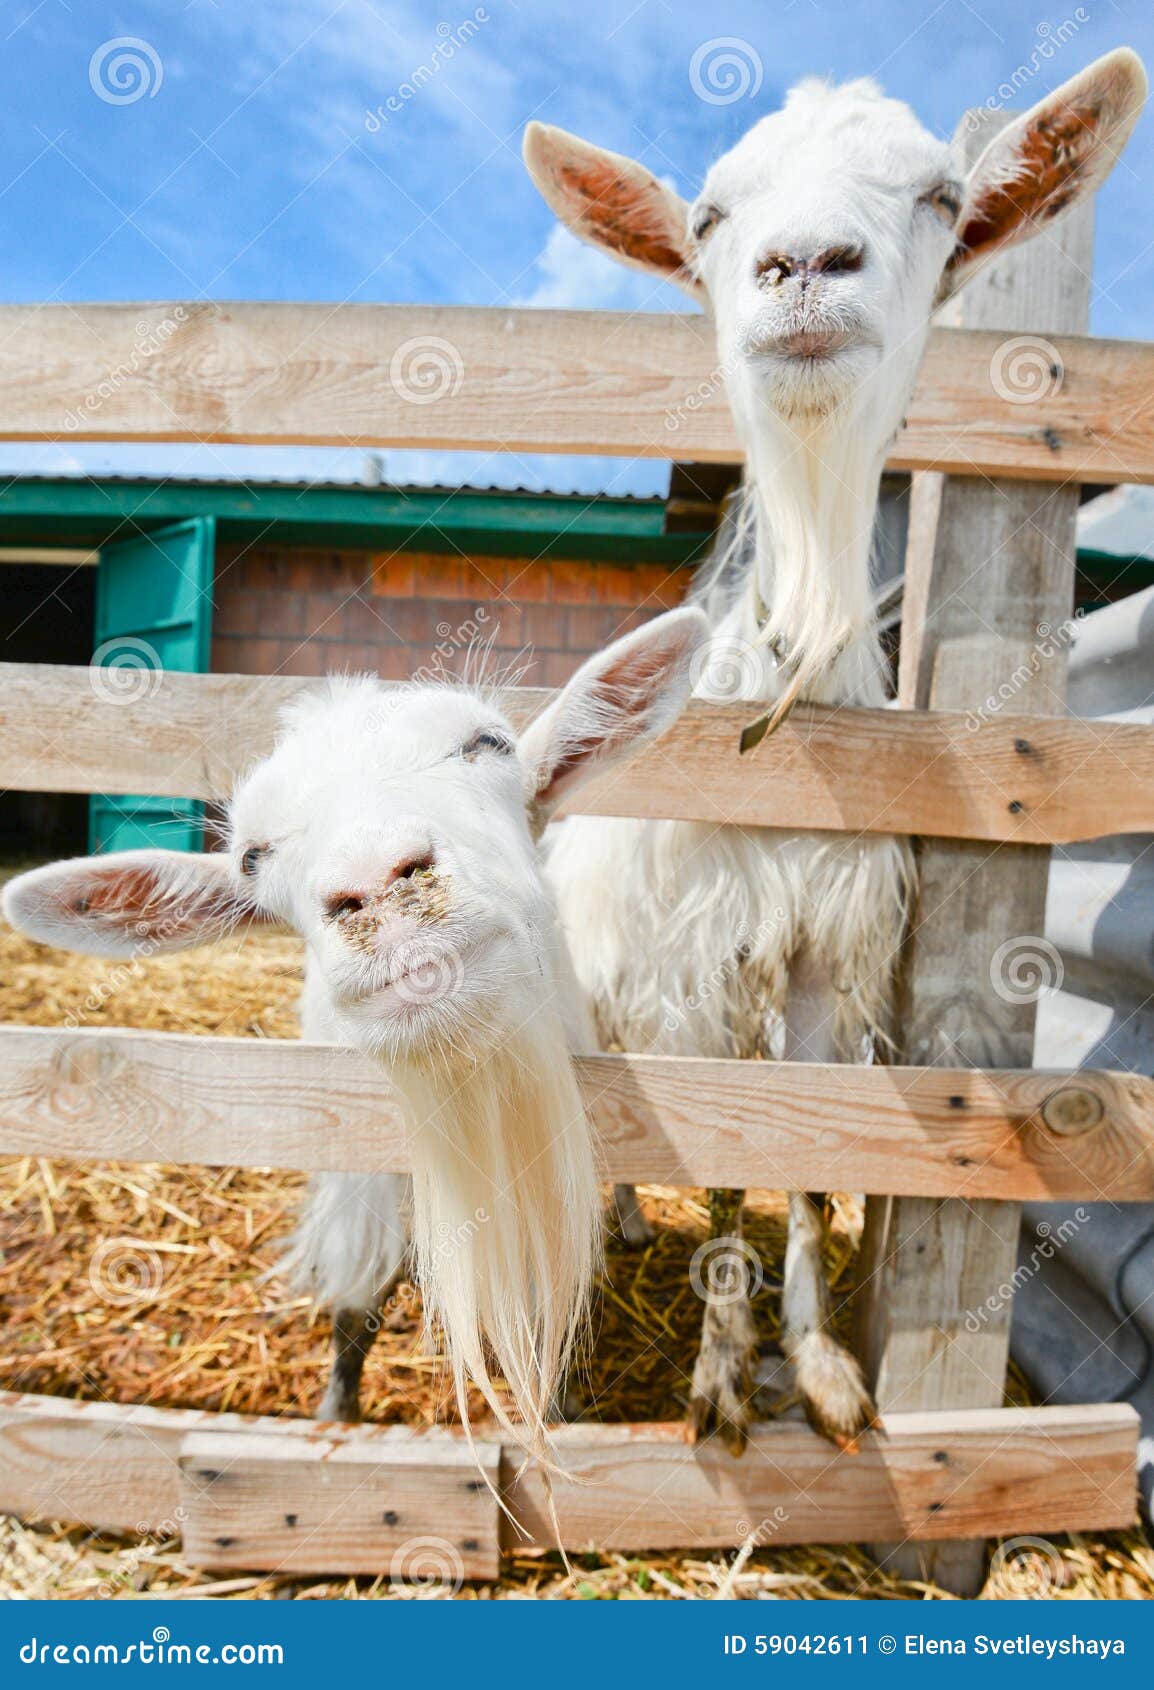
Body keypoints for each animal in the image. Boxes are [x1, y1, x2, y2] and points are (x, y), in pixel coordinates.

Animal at [2, 608, 708, 1462]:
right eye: (252, 856)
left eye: (488, 744)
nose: (376, 882)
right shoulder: (357, 1174)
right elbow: (356, 1310)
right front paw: (336, 1414)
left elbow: (549, 1297)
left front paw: (560, 1407)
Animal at [523, 48, 1146, 1450]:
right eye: (706, 215)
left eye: (937, 197)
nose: (804, 261)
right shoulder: (691, 966)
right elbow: (728, 1167)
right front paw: (714, 1376)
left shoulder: (820, 952)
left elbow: (803, 1163)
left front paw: (813, 1362)